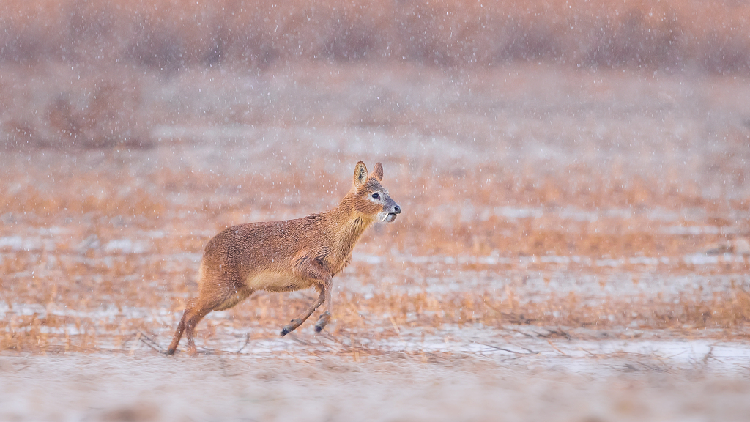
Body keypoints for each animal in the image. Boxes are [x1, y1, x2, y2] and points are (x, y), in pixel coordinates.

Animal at [166, 161, 401, 355]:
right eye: (375, 194)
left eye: (387, 192)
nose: (397, 208)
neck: (333, 233)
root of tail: (207, 248)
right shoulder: (304, 264)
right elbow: (327, 290)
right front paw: (320, 323)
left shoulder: (319, 276)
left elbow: (320, 296)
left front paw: (289, 327)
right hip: (221, 288)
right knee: (190, 312)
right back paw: (191, 351)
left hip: (235, 293)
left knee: (189, 308)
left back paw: (171, 350)